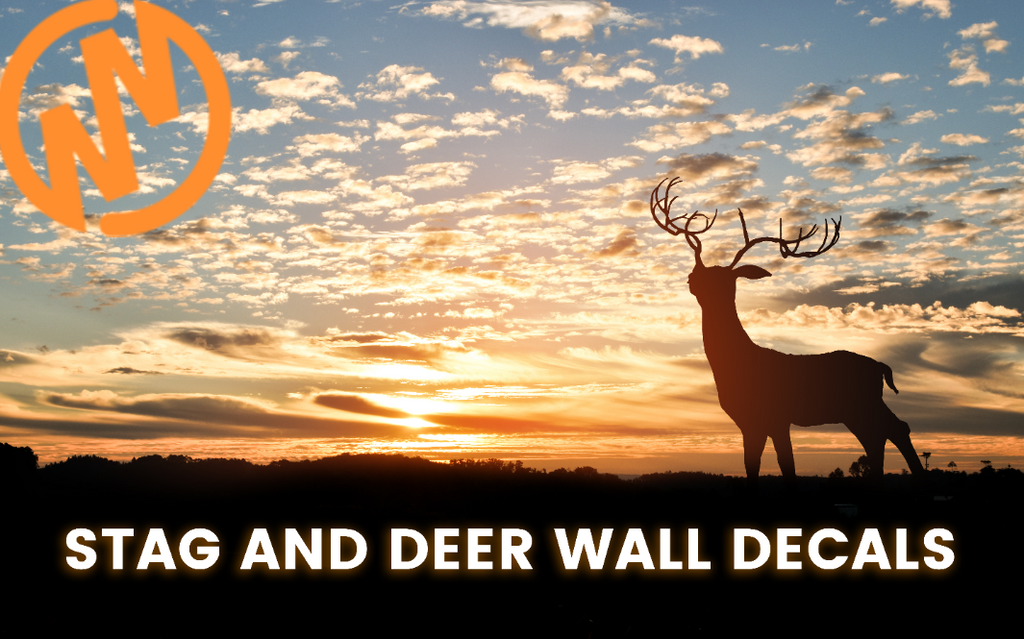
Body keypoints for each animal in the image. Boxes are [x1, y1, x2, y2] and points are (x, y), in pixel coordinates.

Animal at [650, 177, 926, 487]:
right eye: (700, 273)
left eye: (723, 279)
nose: (692, 279)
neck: (739, 365)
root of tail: (880, 366)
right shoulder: (749, 423)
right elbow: (751, 466)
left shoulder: (778, 417)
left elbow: (788, 465)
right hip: (861, 407)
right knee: (888, 432)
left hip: (861, 404)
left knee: (887, 433)